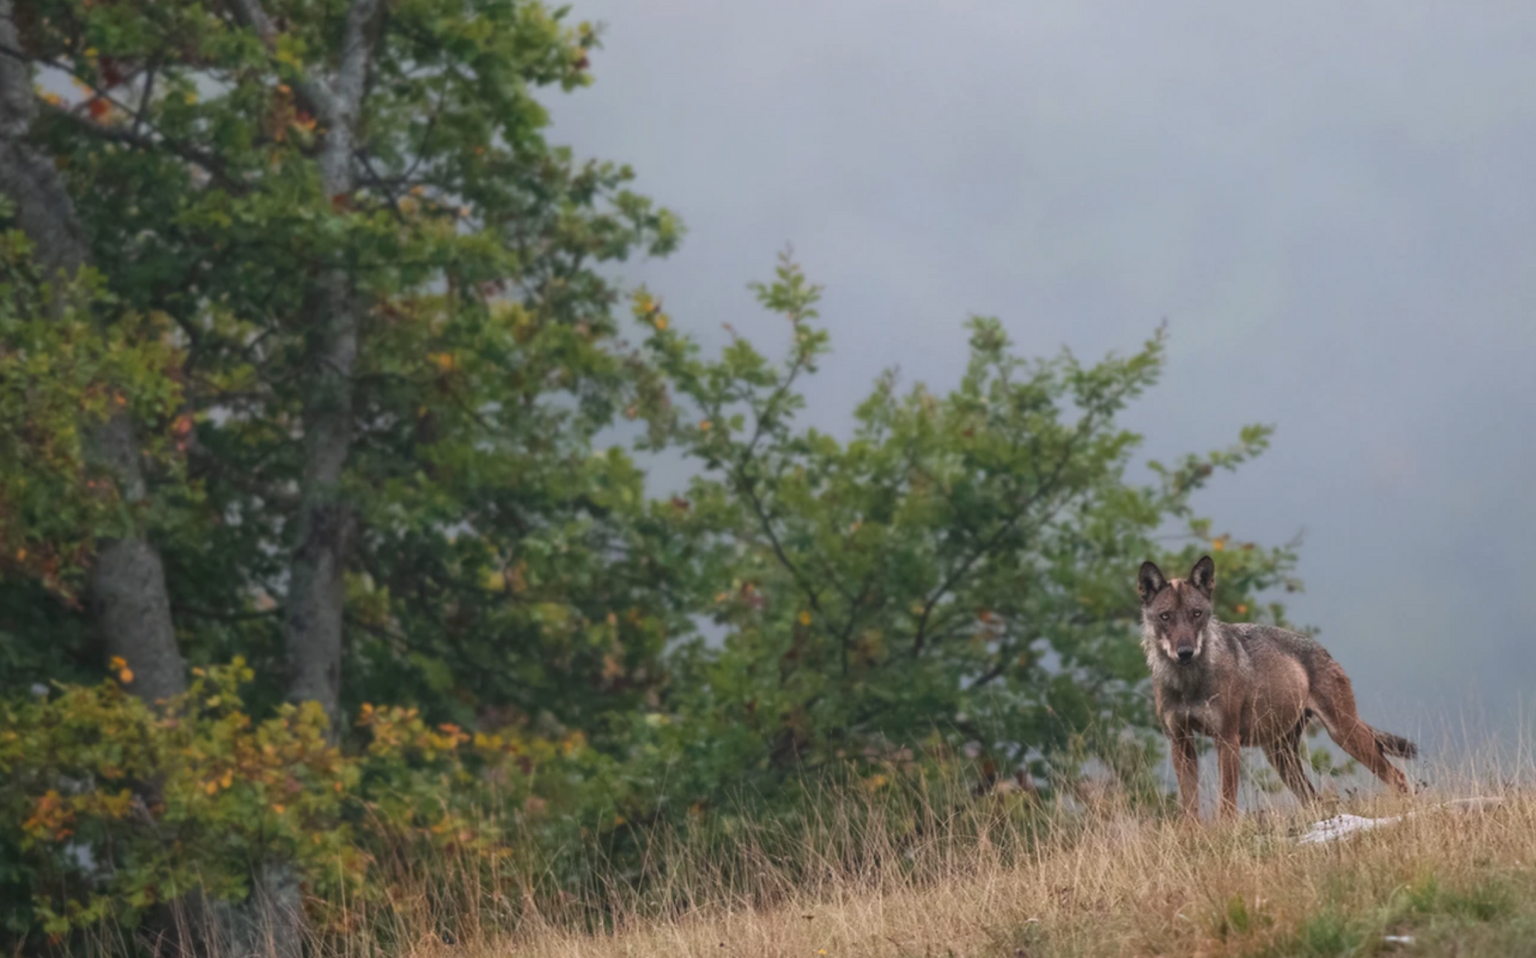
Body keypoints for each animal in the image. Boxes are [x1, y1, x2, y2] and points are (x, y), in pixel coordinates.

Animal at [1137, 555, 1416, 820]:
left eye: (1196, 614)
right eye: (1165, 616)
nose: (1185, 652)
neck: (1187, 683)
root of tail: (1324, 650)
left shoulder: (1227, 739)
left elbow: (1226, 803)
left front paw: (1225, 830)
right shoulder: (1180, 741)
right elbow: (1189, 806)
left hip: (1343, 733)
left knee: (1398, 777)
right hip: (1281, 756)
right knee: (1315, 799)